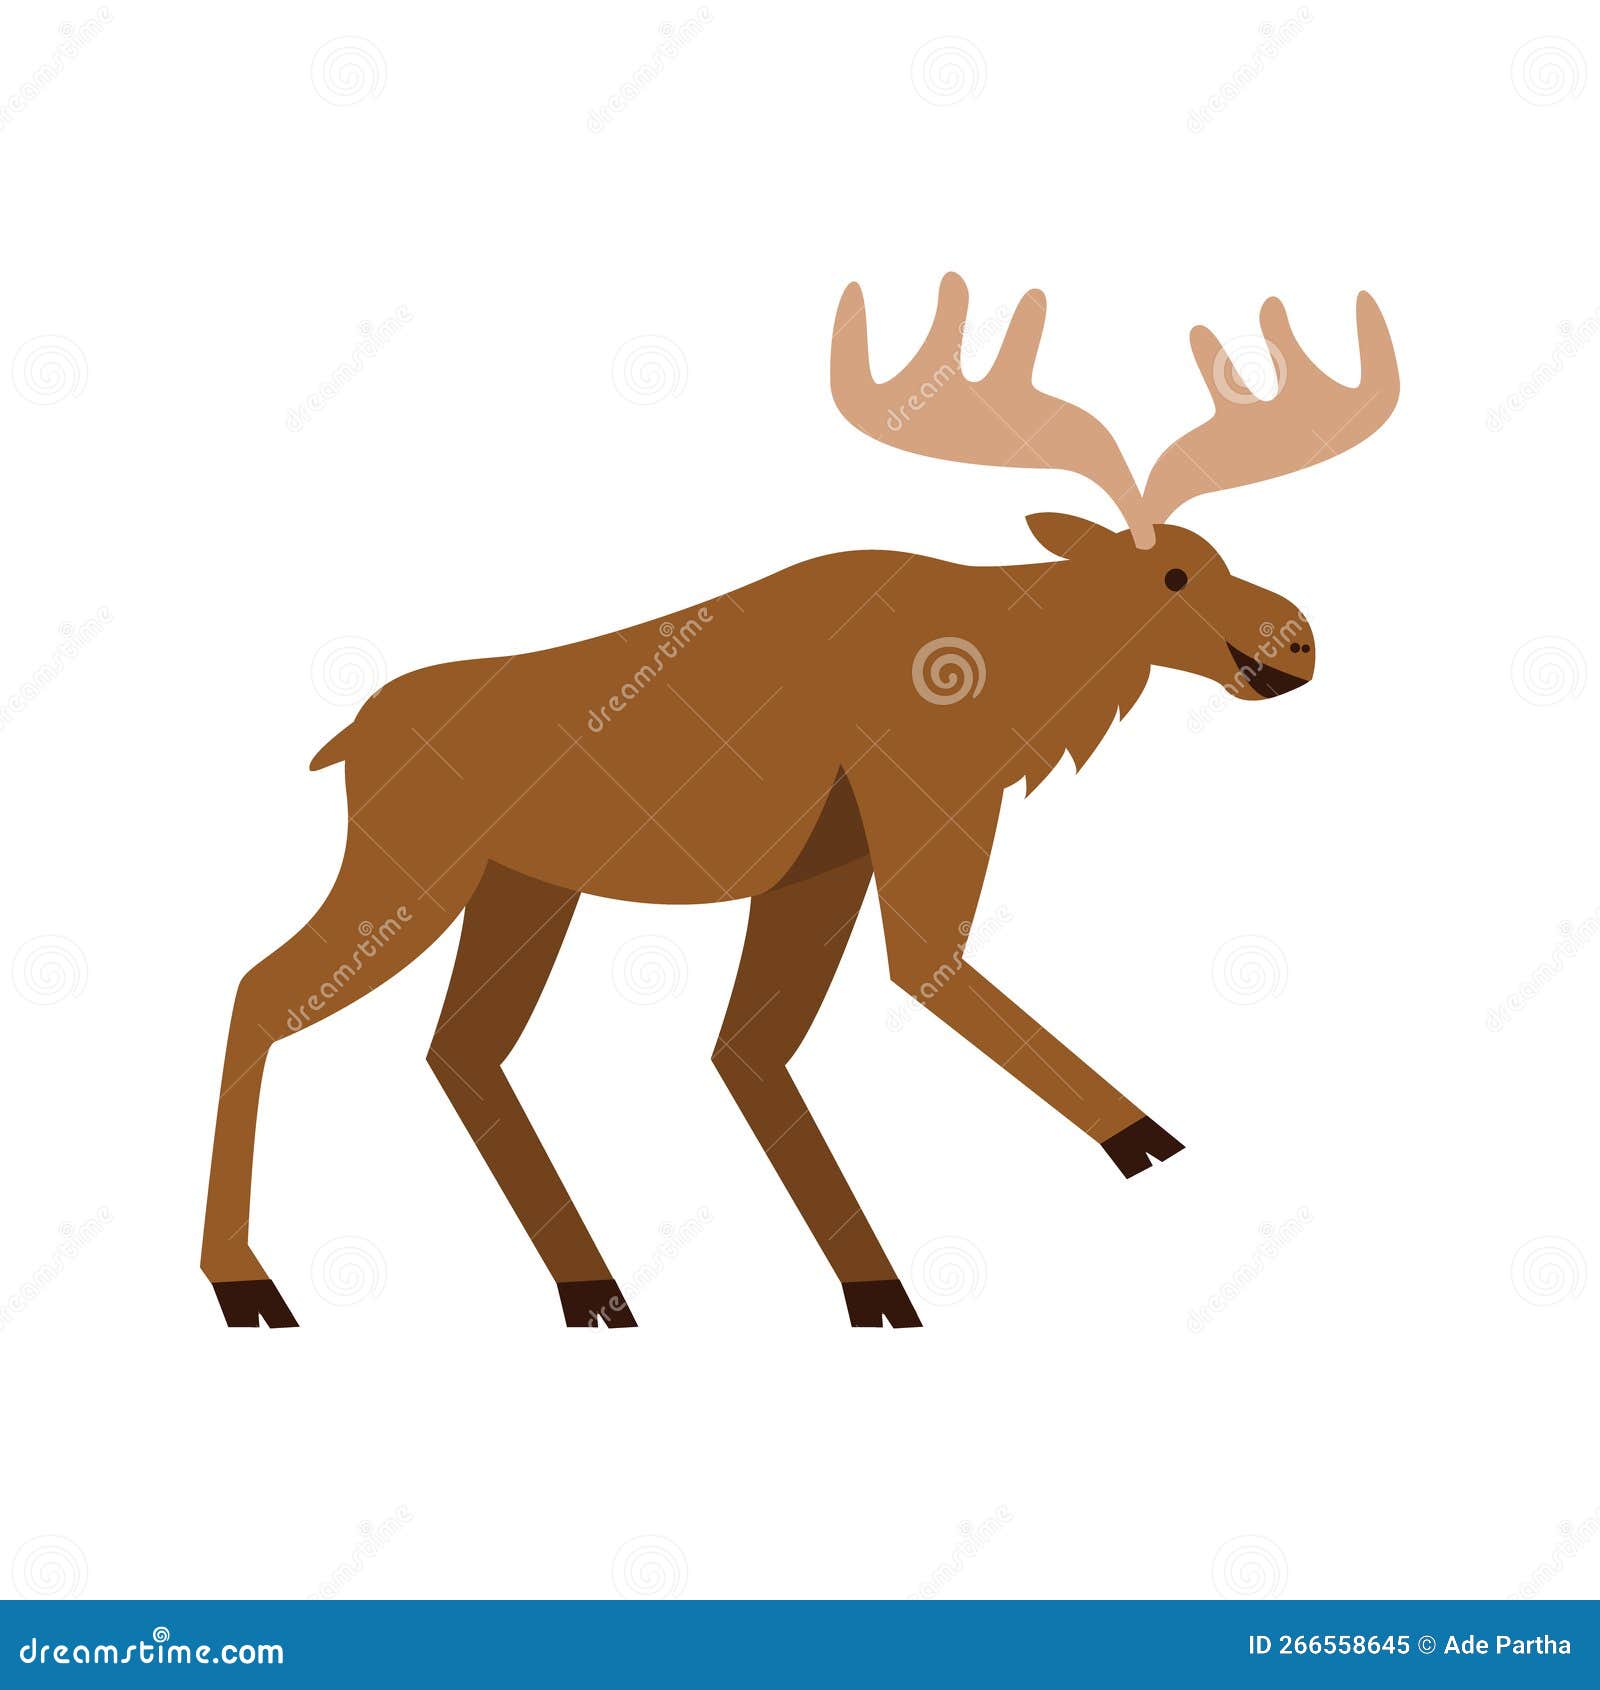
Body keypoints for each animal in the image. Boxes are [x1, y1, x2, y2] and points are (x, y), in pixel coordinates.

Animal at [203, 273, 1398, 1329]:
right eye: (1172, 576)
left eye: (1219, 555)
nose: (1297, 639)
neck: (1009, 679)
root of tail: (348, 741)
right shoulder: (923, 805)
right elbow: (926, 972)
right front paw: (1138, 1135)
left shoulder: (824, 863)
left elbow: (748, 1049)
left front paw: (872, 1282)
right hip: (413, 869)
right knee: (261, 991)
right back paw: (245, 1282)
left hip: (525, 890)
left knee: (460, 1050)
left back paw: (592, 1287)